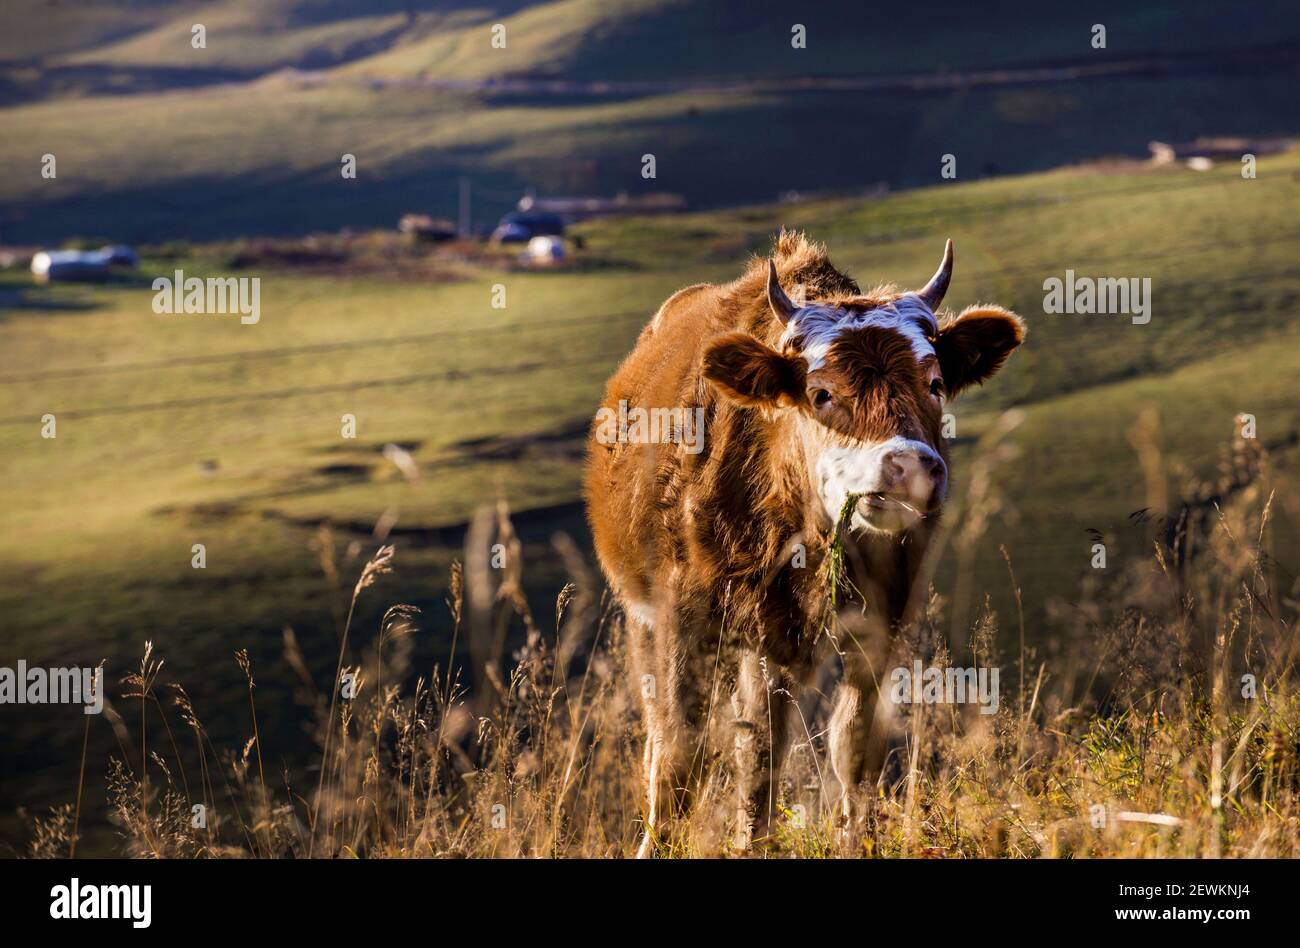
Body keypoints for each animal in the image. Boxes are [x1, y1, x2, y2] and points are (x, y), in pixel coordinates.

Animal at [583, 231, 1024, 855]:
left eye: (936, 384)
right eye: (820, 393)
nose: (910, 468)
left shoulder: (879, 625)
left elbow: (849, 750)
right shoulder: (683, 620)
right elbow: (679, 754)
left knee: (758, 740)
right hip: (654, 620)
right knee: (669, 735)